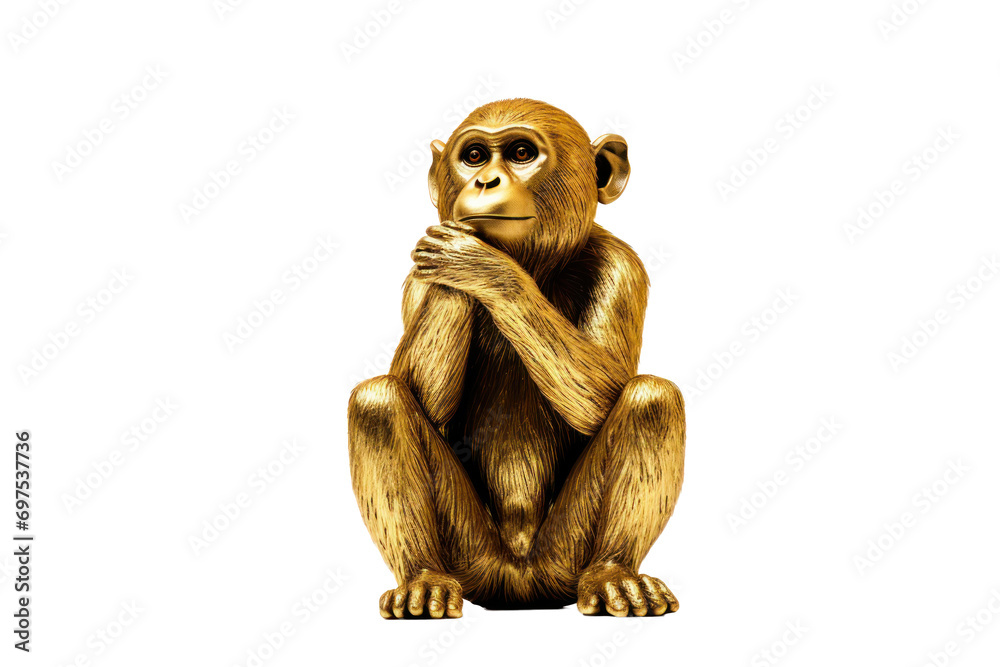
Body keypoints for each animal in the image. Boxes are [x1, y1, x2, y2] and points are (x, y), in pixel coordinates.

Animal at [348, 99, 685, 618]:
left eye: (521, 153)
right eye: (473, 156)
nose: (484, 181)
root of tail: (521, 587)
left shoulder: (621, 266)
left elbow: (604, 392)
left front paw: (481, 266)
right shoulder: (416, 282)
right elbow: (420, 395)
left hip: (565, 560)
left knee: (653, 398)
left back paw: (615, 573)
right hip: (473, 562)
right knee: (377, 401)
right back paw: (423, 579)